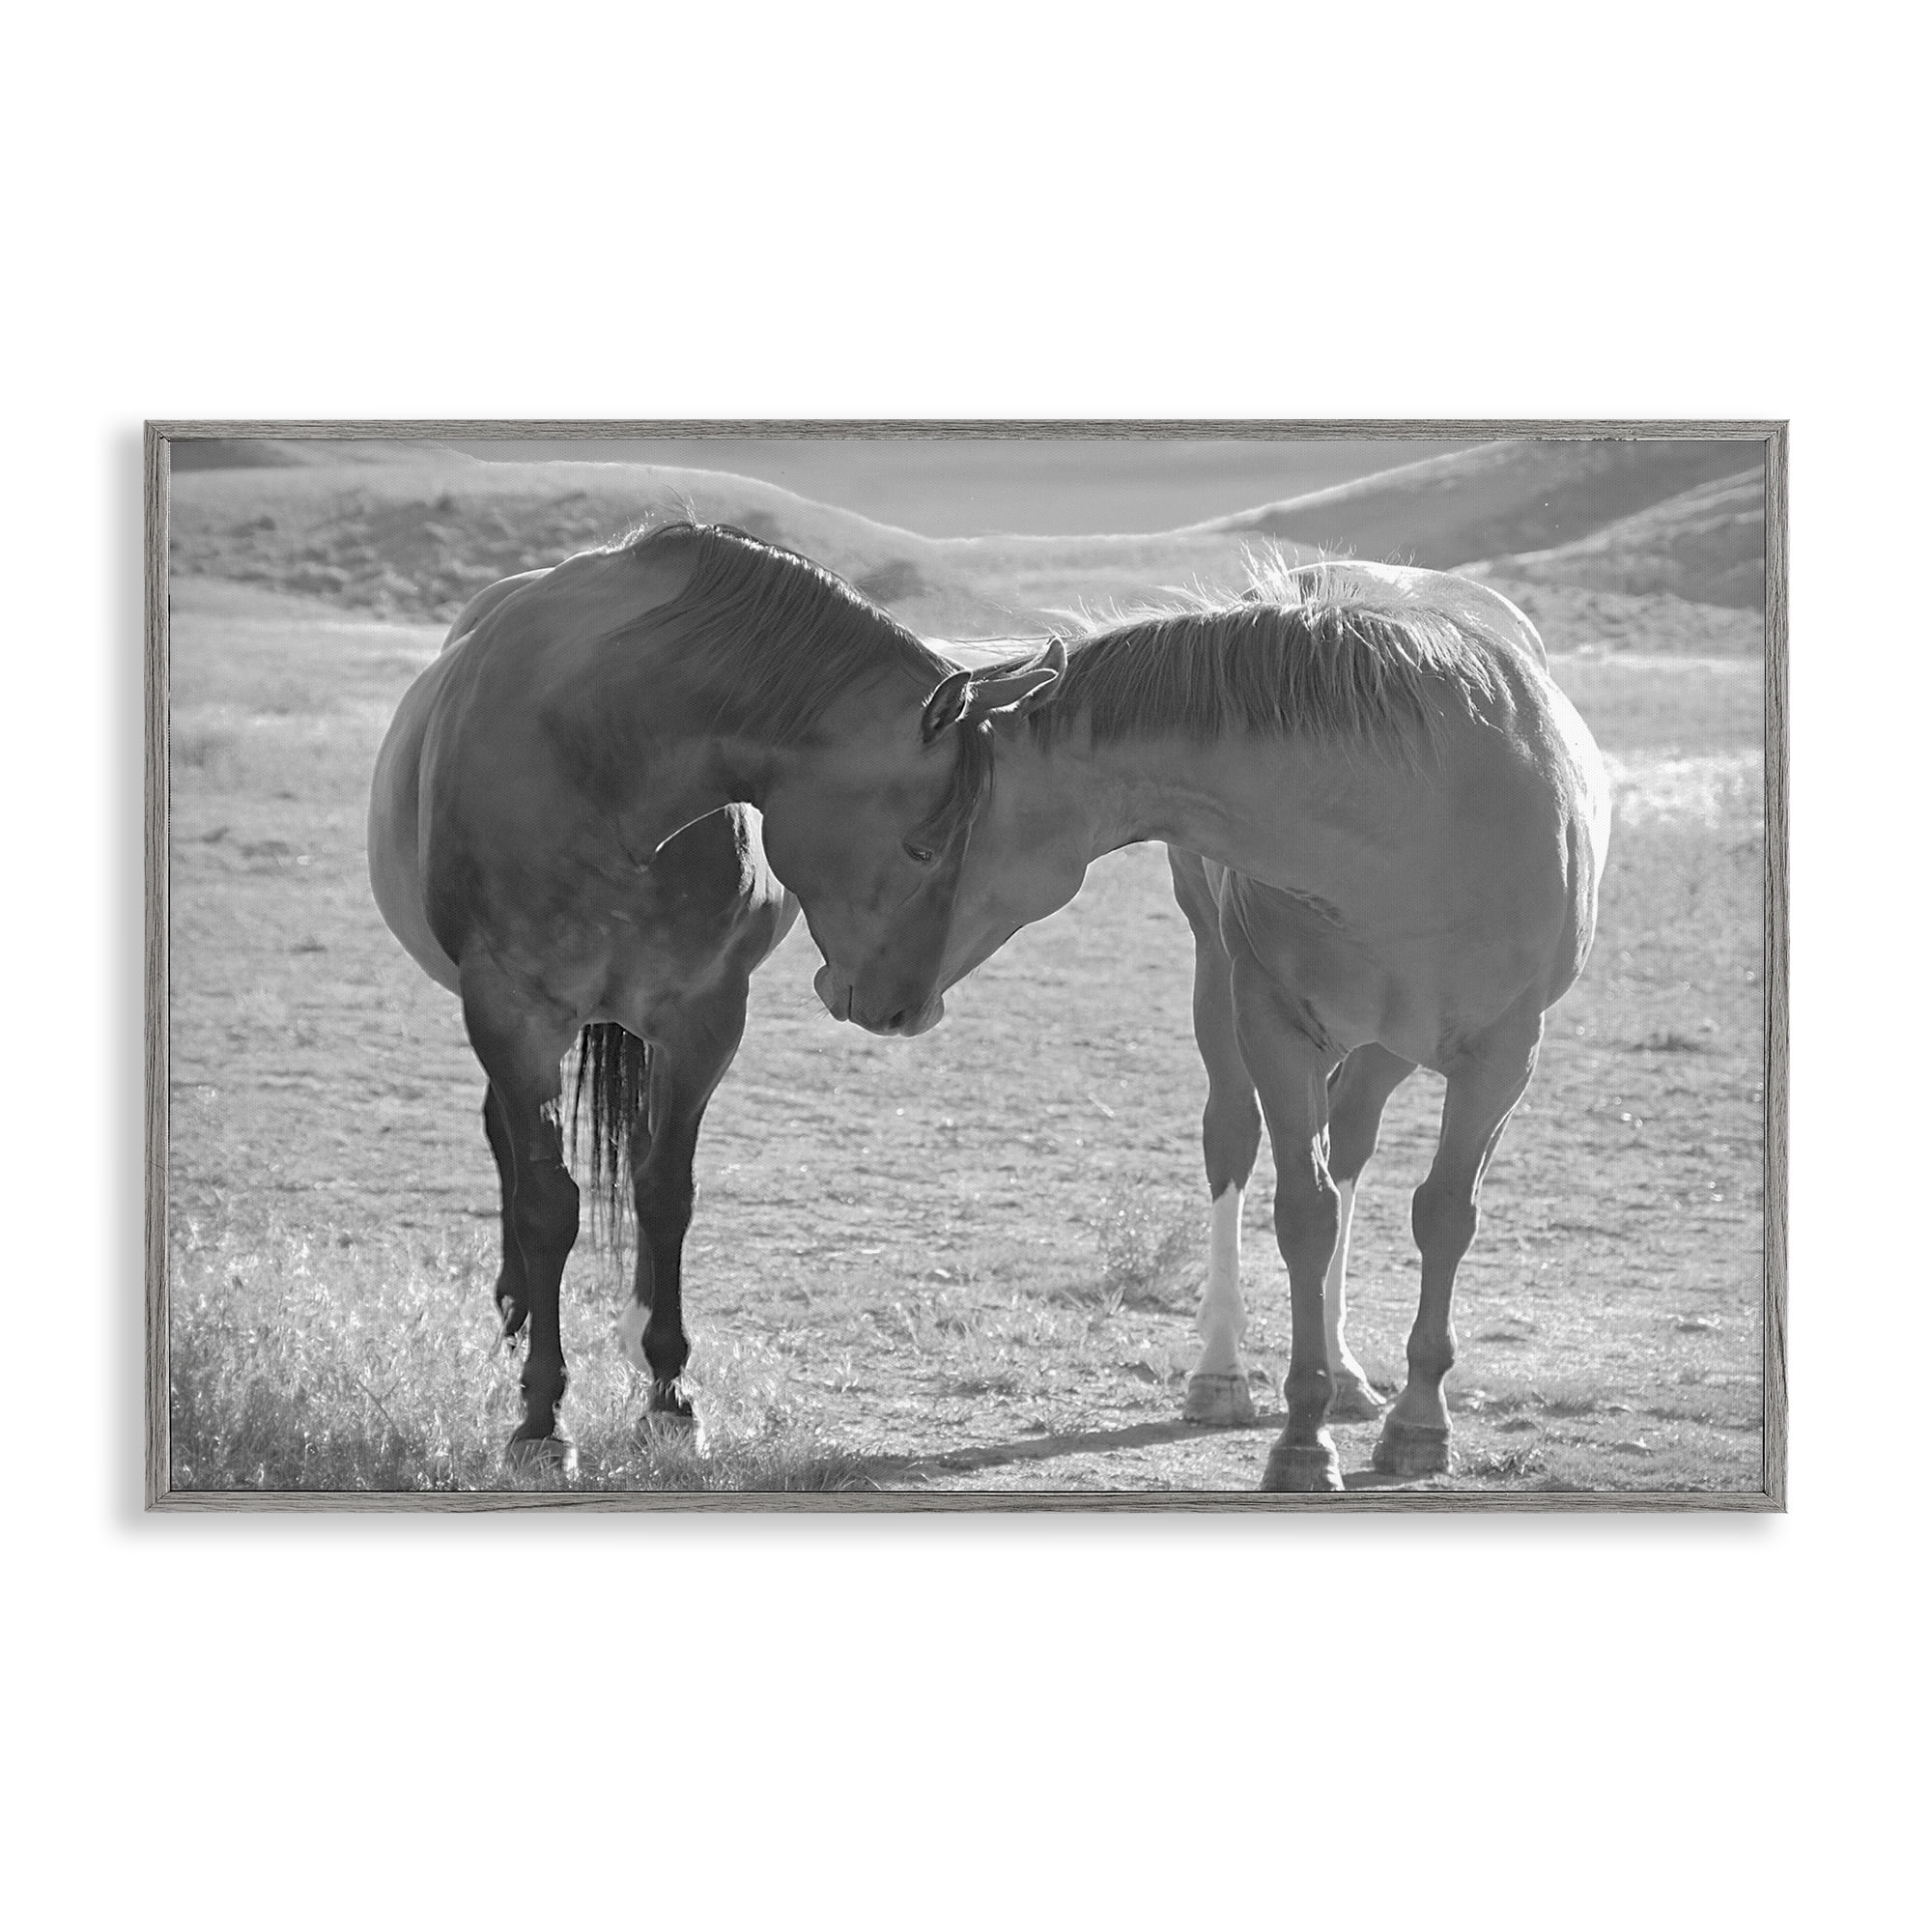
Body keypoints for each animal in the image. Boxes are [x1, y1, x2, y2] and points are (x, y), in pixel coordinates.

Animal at [367, 521, 1061, 1469]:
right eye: (923, 846)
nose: (908, 1009)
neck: (601, 756)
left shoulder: (702, 1019)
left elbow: (666, 1192)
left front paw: (668, 1395)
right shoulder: (511, 1013)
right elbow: (549, 1205)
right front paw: (542, 1417)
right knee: (508, 1147)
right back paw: (514, 1310)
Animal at [818, 559, 1611, 1493]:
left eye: (920, 844)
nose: (846, 989)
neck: (1417, 816)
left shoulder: (1504, 1056)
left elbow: (1444, 1215)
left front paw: (1419, 1423)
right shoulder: (1272, 1024)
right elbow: (1303, 1215)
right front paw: (1301, 1439)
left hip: (1388, 1045)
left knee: (1352, 1143)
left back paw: (1349, 1373)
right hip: (1220, 985)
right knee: (1234, 1139)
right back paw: (1224, 1374)